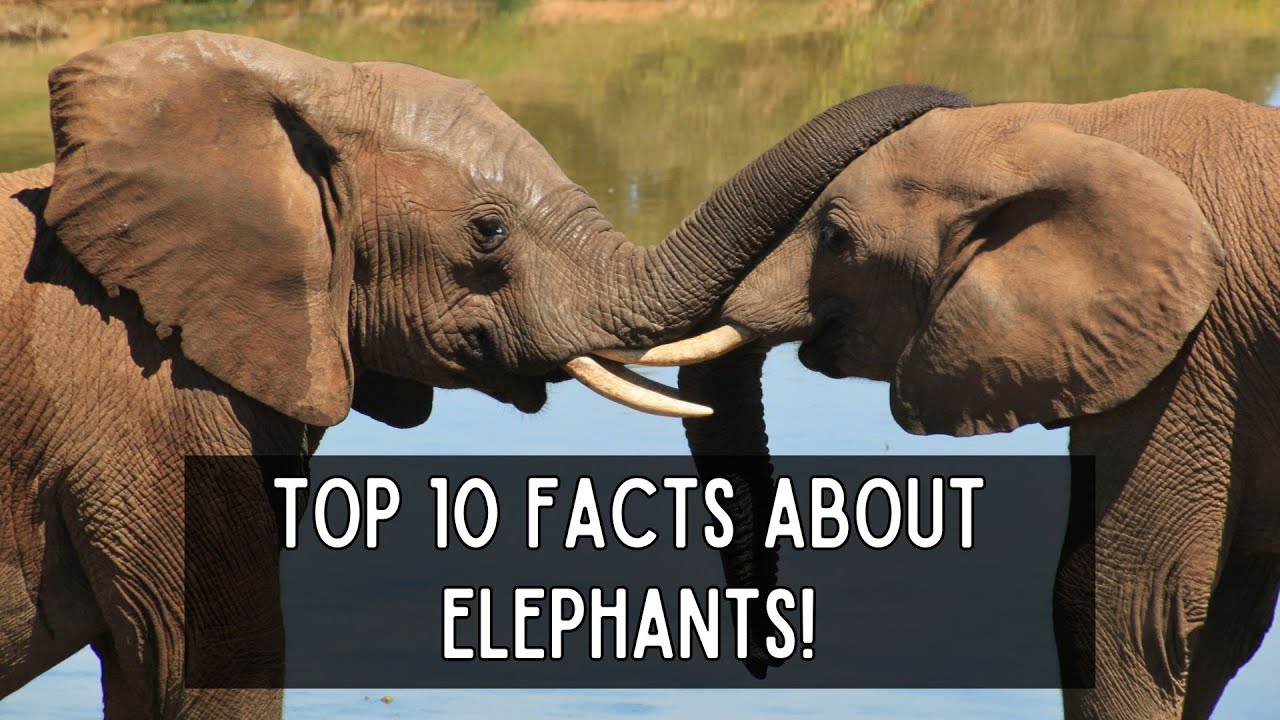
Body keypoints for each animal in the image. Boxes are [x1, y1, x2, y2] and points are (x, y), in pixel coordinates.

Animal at [618, 88, 1280, 719]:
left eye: (834, 239)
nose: (765, 658)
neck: (1077, 130)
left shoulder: (1193, 359)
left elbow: (1124, 605)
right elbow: (1217, 621)